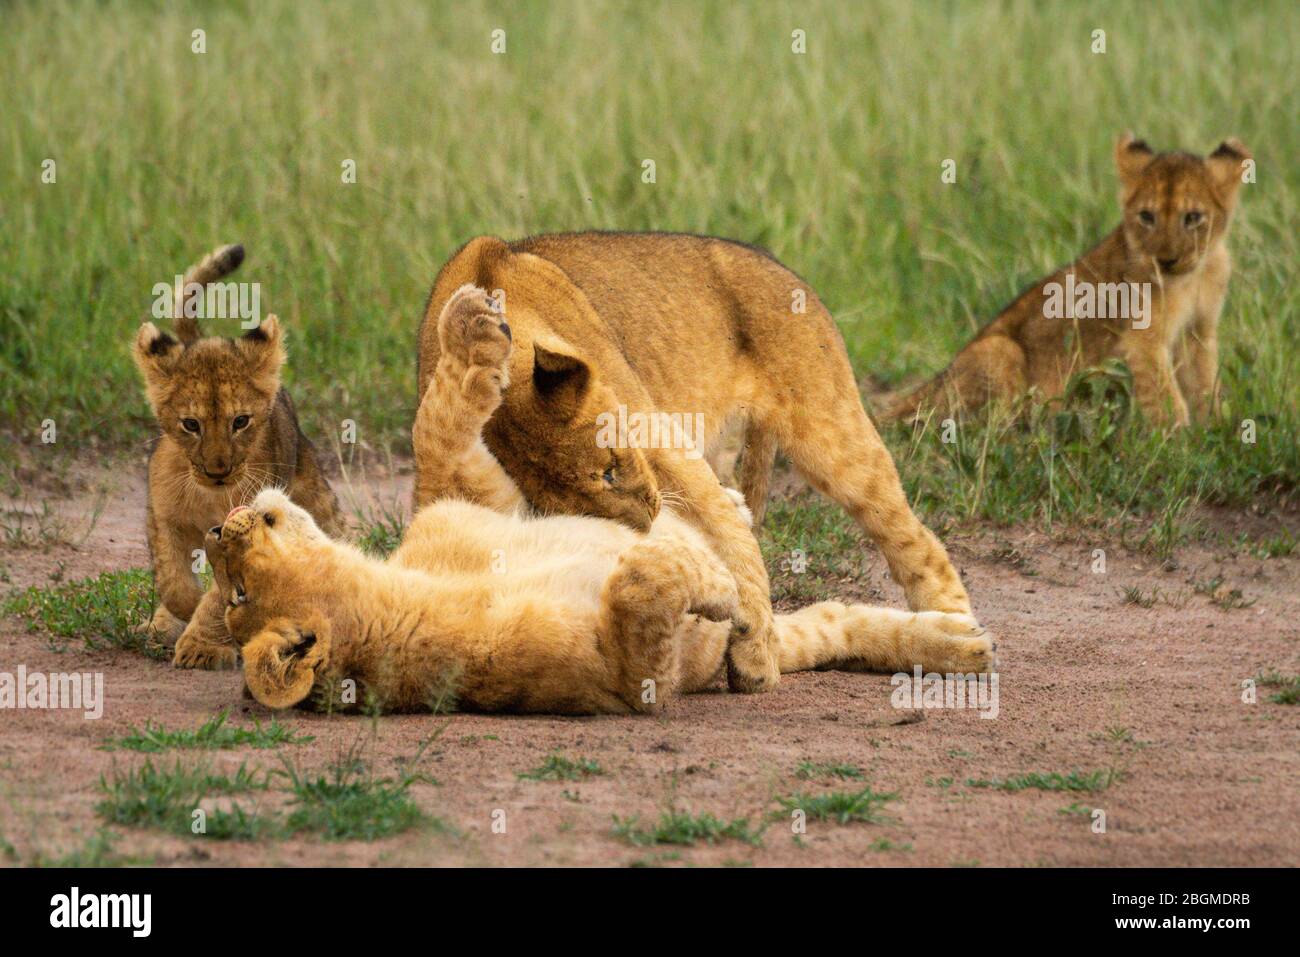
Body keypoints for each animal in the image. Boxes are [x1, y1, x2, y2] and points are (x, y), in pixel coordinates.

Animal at [132, 244, 344, 661]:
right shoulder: (162, 517)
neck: (207, 495)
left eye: (241, 421)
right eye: (191, 424)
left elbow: (220, 595)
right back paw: (157, 625)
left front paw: (200, 645)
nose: (218, 472)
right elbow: (172, 580)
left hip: (315, 491)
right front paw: (182, 613)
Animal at [205, 286, 994, 715]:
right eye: (238, 593)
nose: (220, 527)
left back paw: (957, 638)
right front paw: (709, 580)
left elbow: (439, 426)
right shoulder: (624, 673)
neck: (401, 582)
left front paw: (472, 328)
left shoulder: (479, 500)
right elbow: (646, 589)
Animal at [416, 232, 977, 695]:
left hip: (830, 429)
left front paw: (756, 657)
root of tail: (780, 268)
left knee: (913, 536)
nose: (643, 525)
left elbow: (729, 533)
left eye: (610, 469)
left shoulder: (657, 432)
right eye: (560, 505)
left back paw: (956, 627)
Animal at [880, 134, 1251, 427]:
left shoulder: (1198, 333)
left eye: (1193, 218)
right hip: (998, 350)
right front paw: (1177, 443)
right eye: (1147, 216)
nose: (1166, 260)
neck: (1194, 276)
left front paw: (1214, 431)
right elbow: (1165, 399)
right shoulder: (1141, 341)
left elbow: (1204, 385)